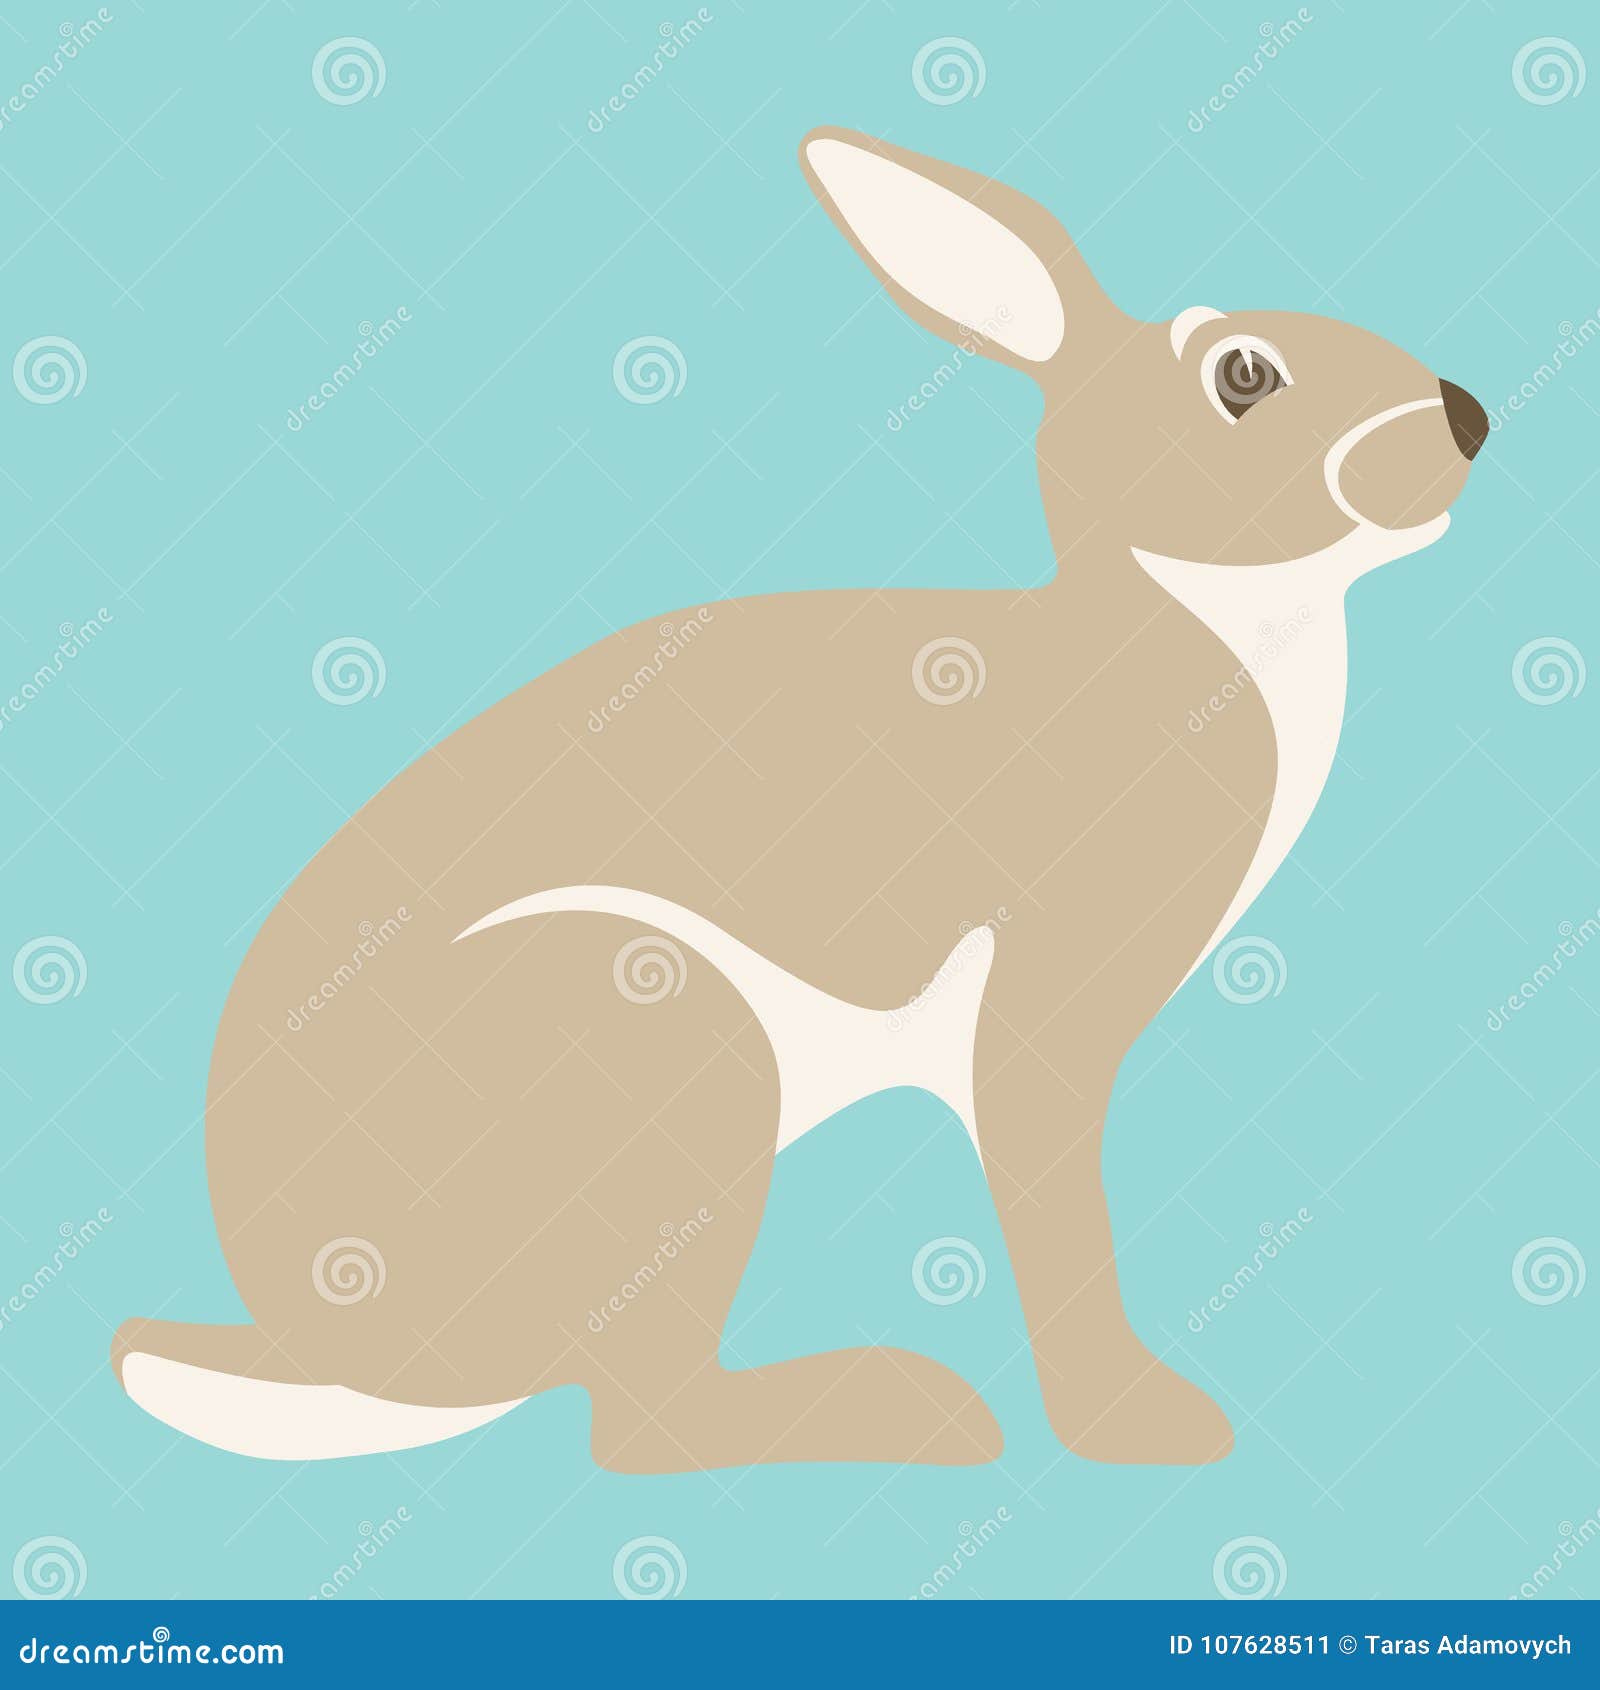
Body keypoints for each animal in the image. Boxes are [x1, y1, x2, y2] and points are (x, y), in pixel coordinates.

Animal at [112, 127, 1486, 1471]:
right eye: (1241, 374)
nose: (1466, 415)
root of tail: (339, 1355)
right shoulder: (1035, 1019)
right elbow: (1057, 1218)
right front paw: (1138, 1427)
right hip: (663, 1036)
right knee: (644, 1428)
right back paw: (906, 1409)